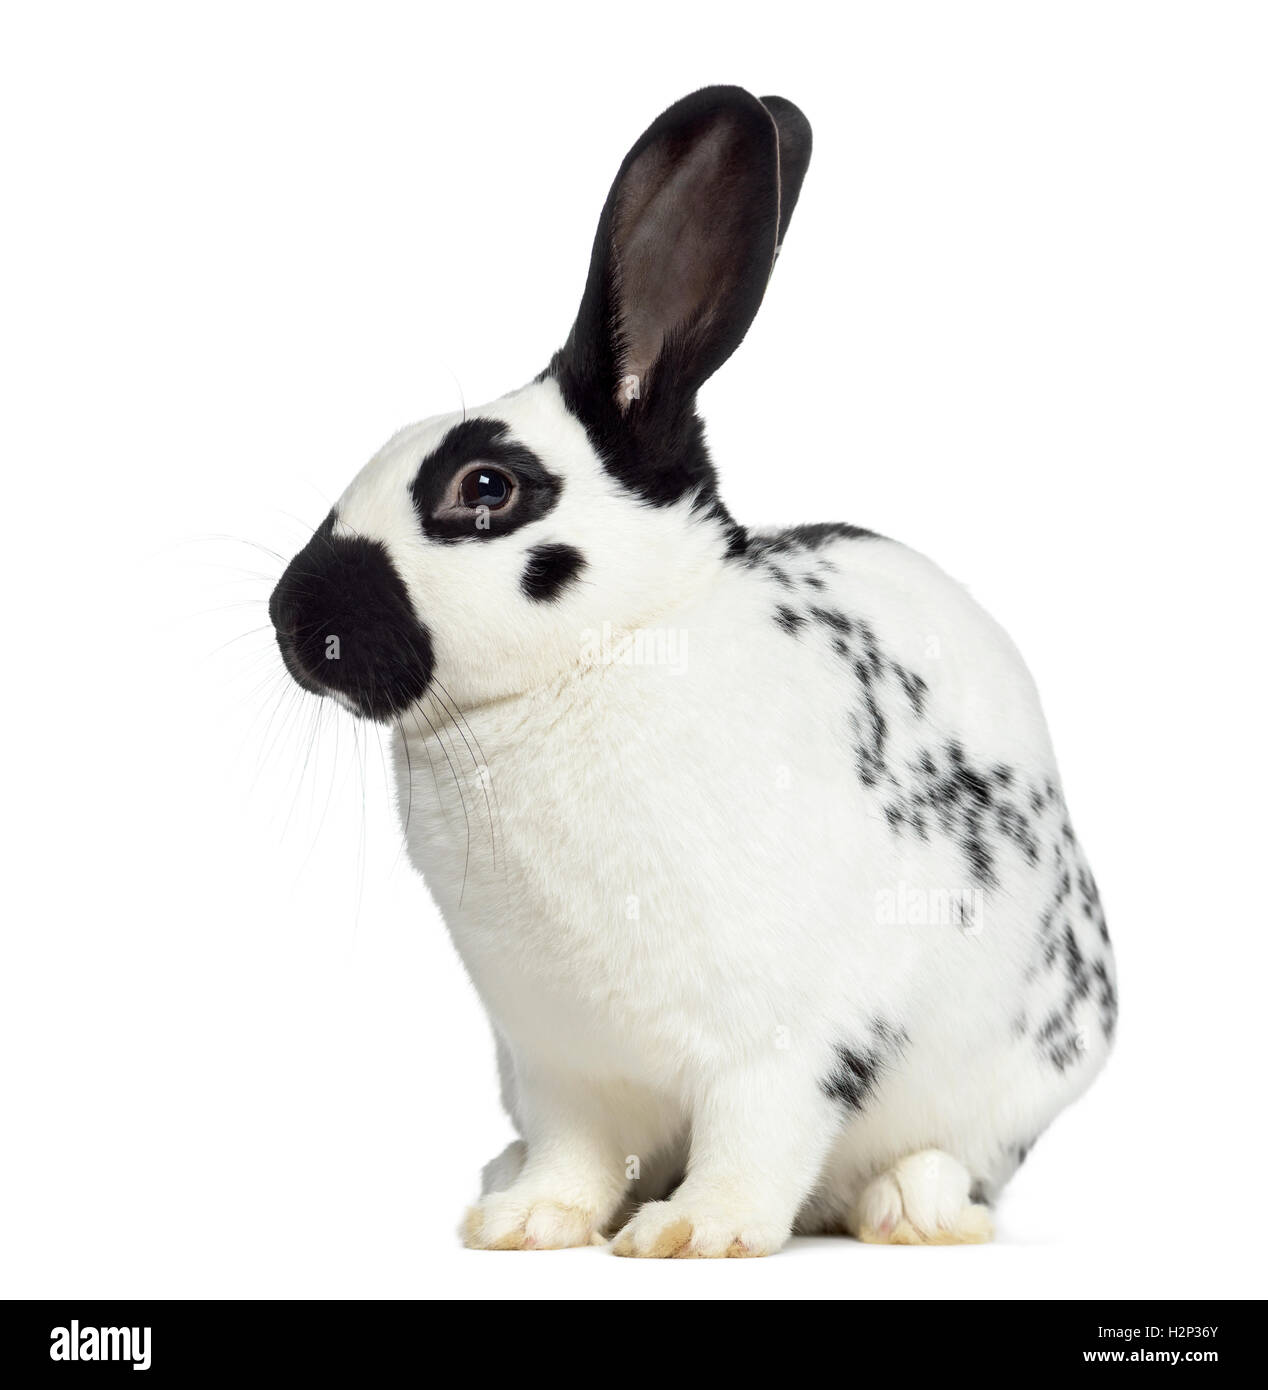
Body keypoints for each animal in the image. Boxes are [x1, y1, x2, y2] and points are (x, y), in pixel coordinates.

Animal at [268, 85, 1116, 1257]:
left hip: (1013, 1075)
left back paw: (911, 1210)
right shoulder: (558, 1061)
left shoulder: (787, 1046)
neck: (605, 652)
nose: (292, 622)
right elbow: (576, 1150)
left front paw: (696, 1234)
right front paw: (529, 1224)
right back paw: (503, 1177)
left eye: (485, 487)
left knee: (956, 1154)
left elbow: (756, 1139)